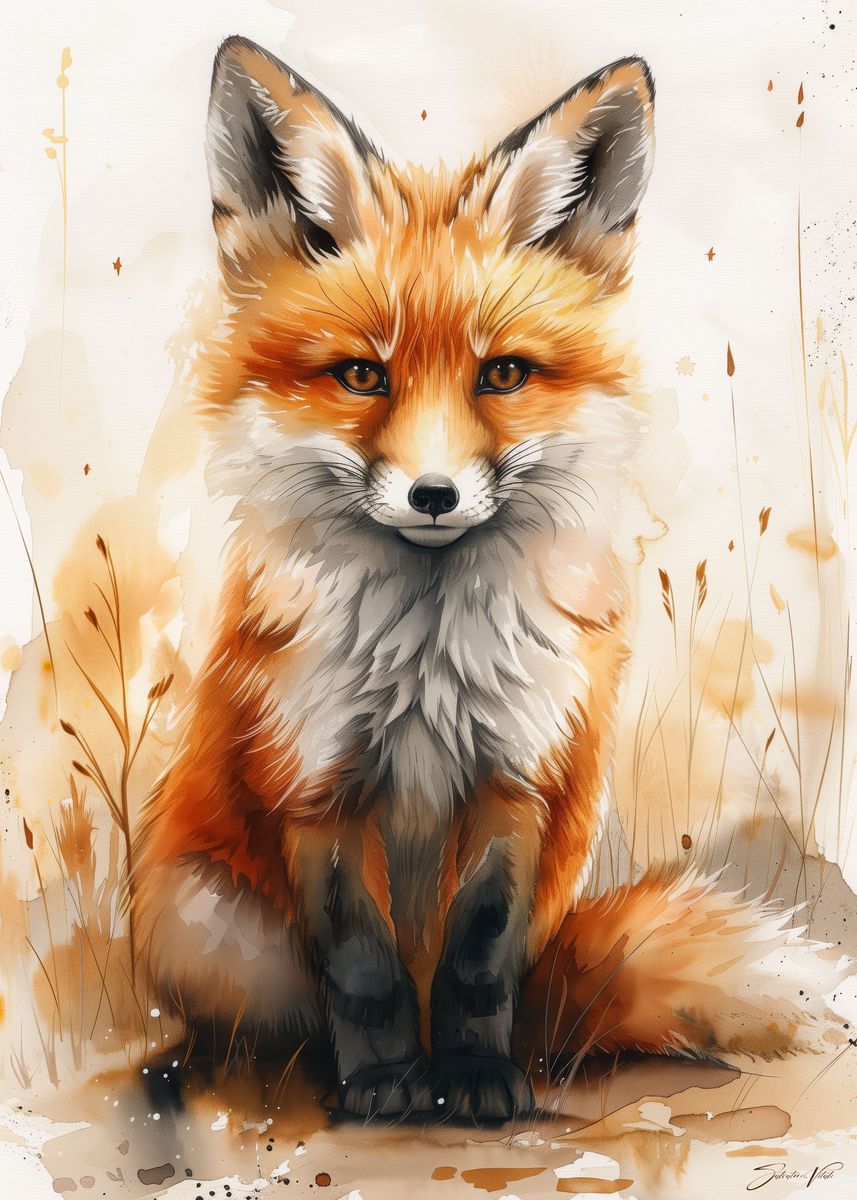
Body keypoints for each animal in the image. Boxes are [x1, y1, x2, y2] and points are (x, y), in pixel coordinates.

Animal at [134, 36, 838, 1122]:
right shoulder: (315, 782)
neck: (427, 665)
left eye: (501, 374)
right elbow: (363, 969)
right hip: (203, 916)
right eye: (361, 375)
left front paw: (467, 1078)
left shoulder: (519, 777)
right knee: (261, 1027)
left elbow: (475, 956)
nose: (432, 494)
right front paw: (386, 1082)